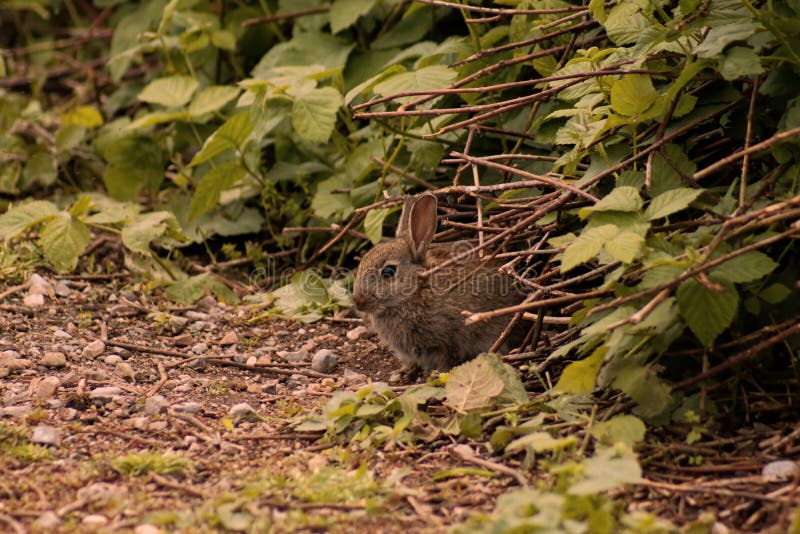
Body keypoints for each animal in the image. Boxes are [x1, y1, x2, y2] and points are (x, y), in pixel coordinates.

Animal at [352, 193, 527, 379]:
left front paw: (438, 373)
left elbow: (447, 357)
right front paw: (403, 371)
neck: (416, 290)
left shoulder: (448, 338)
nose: (358, 302)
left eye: (388, 272)